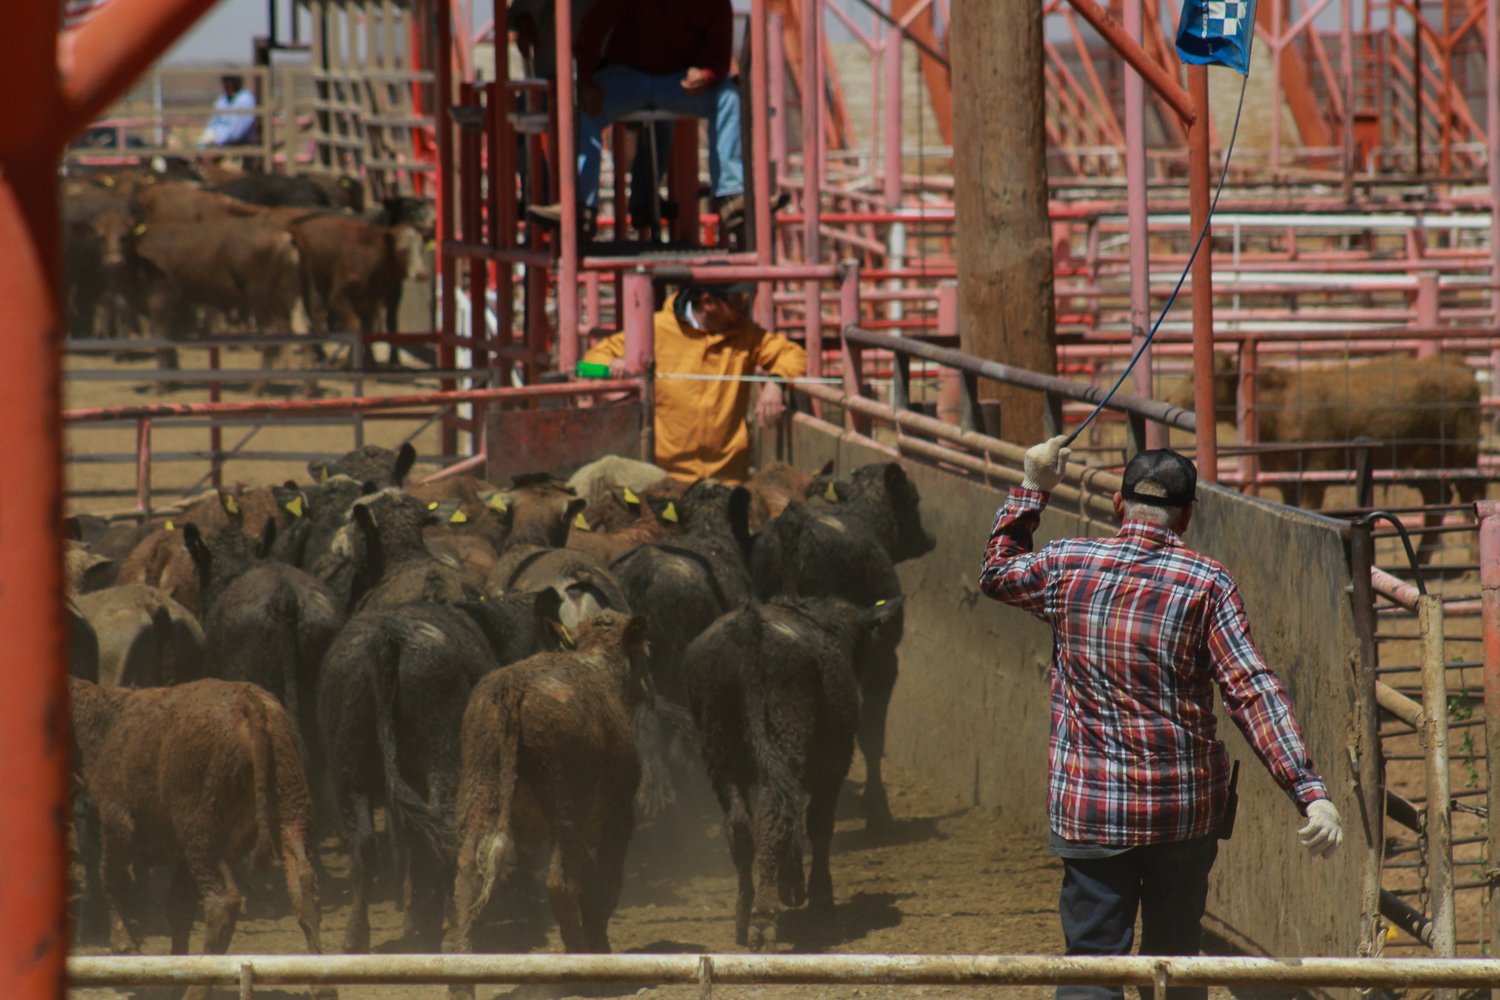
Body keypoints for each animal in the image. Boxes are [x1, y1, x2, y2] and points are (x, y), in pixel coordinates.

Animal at [68, 677, 336, 1000]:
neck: (106, 723)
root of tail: (248, 702)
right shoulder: (180, 855)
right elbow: (178, 906)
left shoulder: (117, 823)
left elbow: (110, 879)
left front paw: (125, 949)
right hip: (288, 815)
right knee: (303, 886)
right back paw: (323, 985)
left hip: (202, 834)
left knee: (222, 902)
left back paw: (196, 991)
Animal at [318, 592, 564, 952]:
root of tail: (388, 635)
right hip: (442, 762)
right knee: (447, 834)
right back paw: (456, 924)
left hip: (348, 772)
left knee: (365, 844)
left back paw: (358, 937)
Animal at [446, 611, 650, 988]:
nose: (644, 684)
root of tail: (511, 685)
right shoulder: (617, 811)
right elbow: (605, 878)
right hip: (564, 806)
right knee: (560, 883)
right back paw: (583, 969)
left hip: (482, 792)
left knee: (468, 873)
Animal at [685, 596, 903, 950]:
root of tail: (749, 627)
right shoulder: (833, 765)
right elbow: (818, 825)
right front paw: (820, 898)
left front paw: (793, 884)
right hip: (786, 739)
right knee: (773, 820)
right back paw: (763, 919)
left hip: (720, 754)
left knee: (741, 825)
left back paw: (744, 915)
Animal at [1166, 352, 1483, 557]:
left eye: (1201, 375)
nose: (1170, 397)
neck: (1280, 405)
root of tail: (1458, 366)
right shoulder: (1286, 475)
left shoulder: (1315, 473)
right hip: (1424, 458)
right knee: (1436, 497)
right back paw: (1424, 555)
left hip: (1462, 450)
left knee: (1469, 491)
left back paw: (1470, 556)